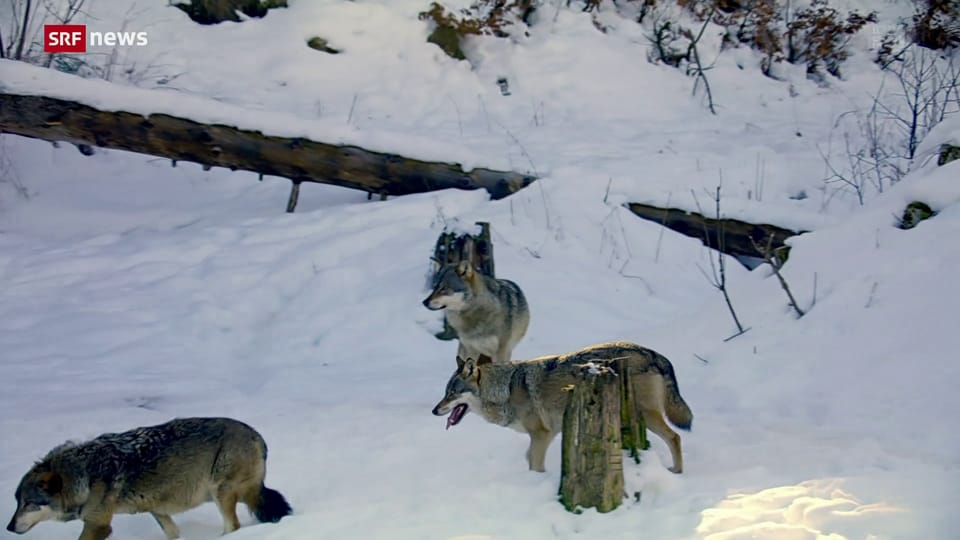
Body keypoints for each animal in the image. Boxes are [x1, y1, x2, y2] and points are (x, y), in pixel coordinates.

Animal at [6, 417, 292, 540]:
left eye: (29, 503)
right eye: (17, 503)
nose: (8, 527)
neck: (84, 474)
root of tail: (257, 434)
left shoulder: (98, 524)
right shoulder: (158, 510)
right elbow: (172, 533)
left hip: (221, 493)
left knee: (233, 526)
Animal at [431, 341, 693, 473]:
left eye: (452, 393)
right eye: (445, 393)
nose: (435, 410)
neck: (505, 389)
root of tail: (655, 354)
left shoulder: (542, 434)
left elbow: (535, 464)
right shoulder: (546, 434)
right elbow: (529, 458)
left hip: (647, 416)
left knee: (676, 436)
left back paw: (677, 471)